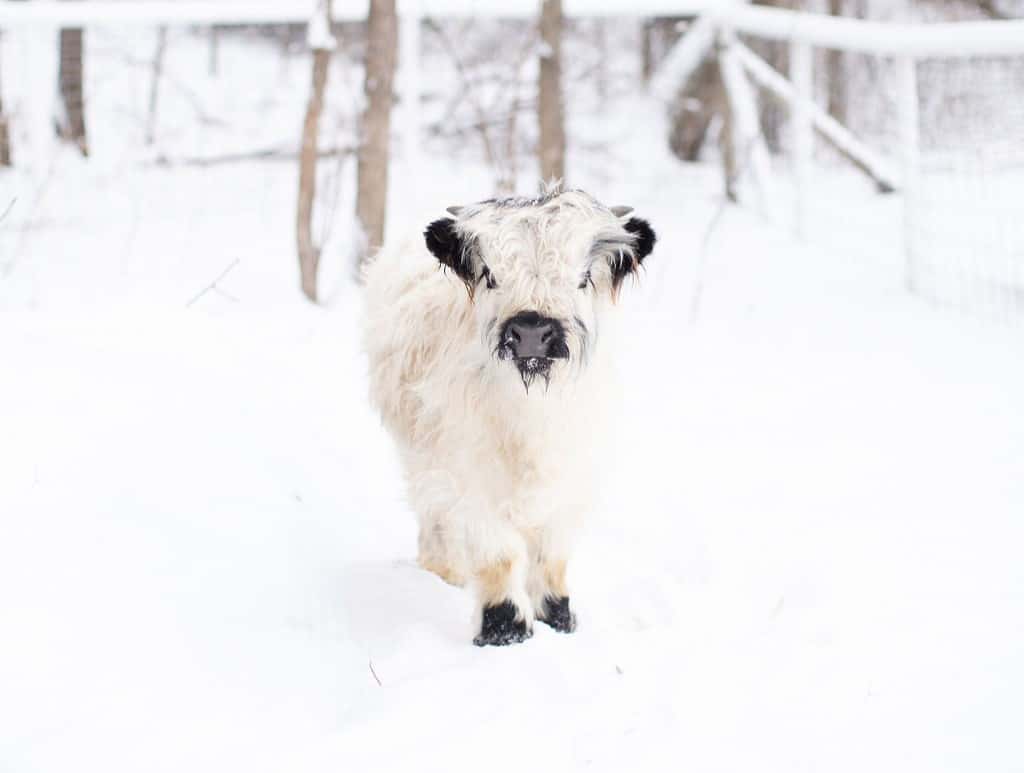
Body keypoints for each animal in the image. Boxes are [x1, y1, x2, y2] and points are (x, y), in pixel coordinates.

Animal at [363, 186, 656, 646]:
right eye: (490, 275)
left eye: (583, 277)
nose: (532, 330)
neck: (532, 417)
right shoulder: (468, 478)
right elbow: (497, 556)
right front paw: (504, 630)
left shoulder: (573, 478)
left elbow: (552, 558)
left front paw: (559, 619)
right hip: (421, 457)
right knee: (434, 517)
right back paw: (443, 571)